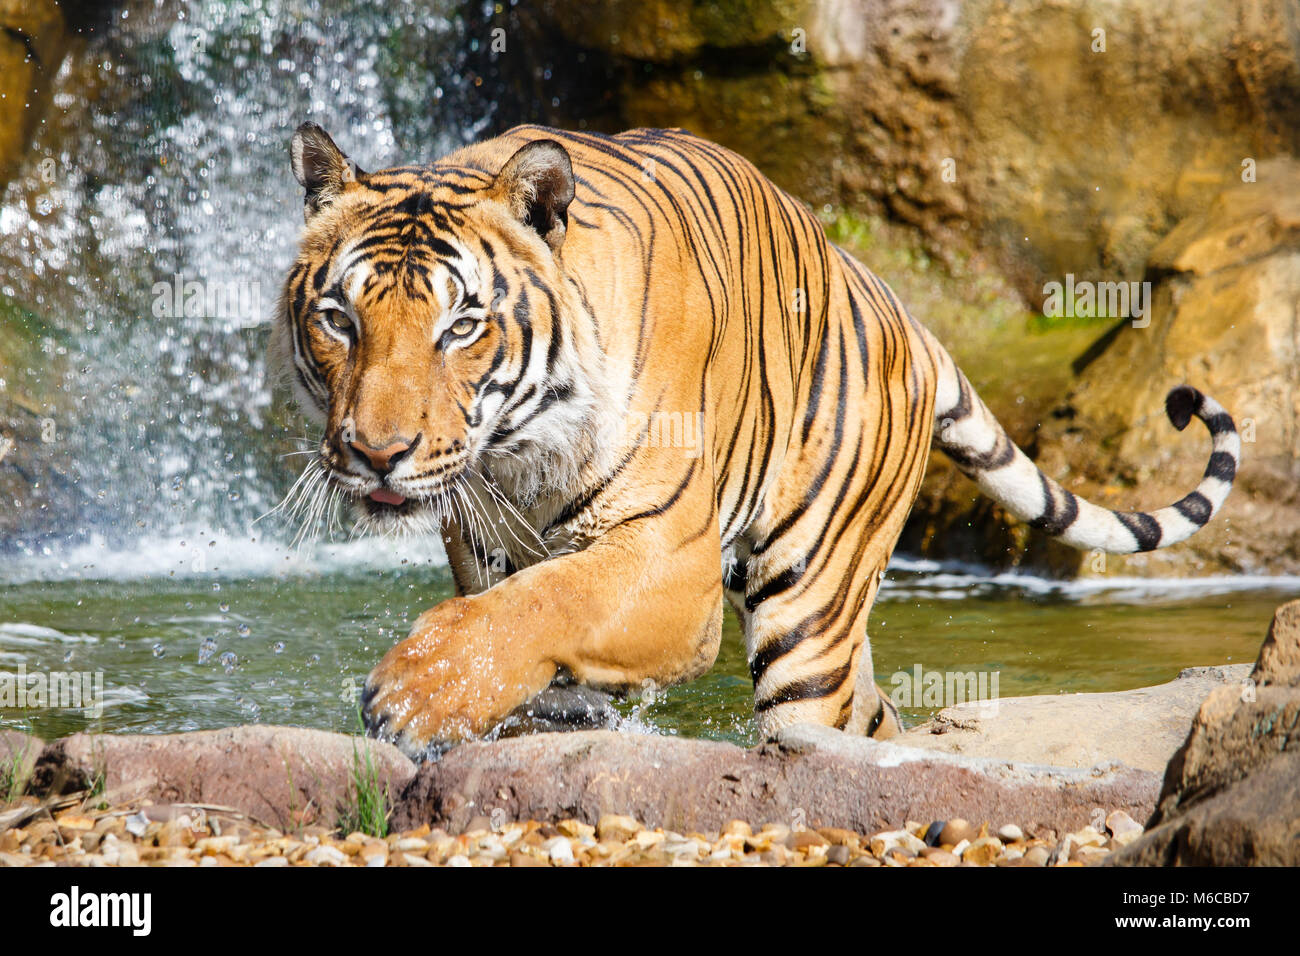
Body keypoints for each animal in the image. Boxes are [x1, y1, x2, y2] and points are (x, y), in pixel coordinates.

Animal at [271, 121, 1240, 760]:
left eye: (462, 326)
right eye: (339, 319)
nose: (378, 453)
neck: (514, 455)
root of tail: (895, 308)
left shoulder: (669, 558)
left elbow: (546, 602)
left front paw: (416, 689)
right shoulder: (484, 543)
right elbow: (517, 615)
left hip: (810, 606)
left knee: (815, 715)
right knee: (875, 718)